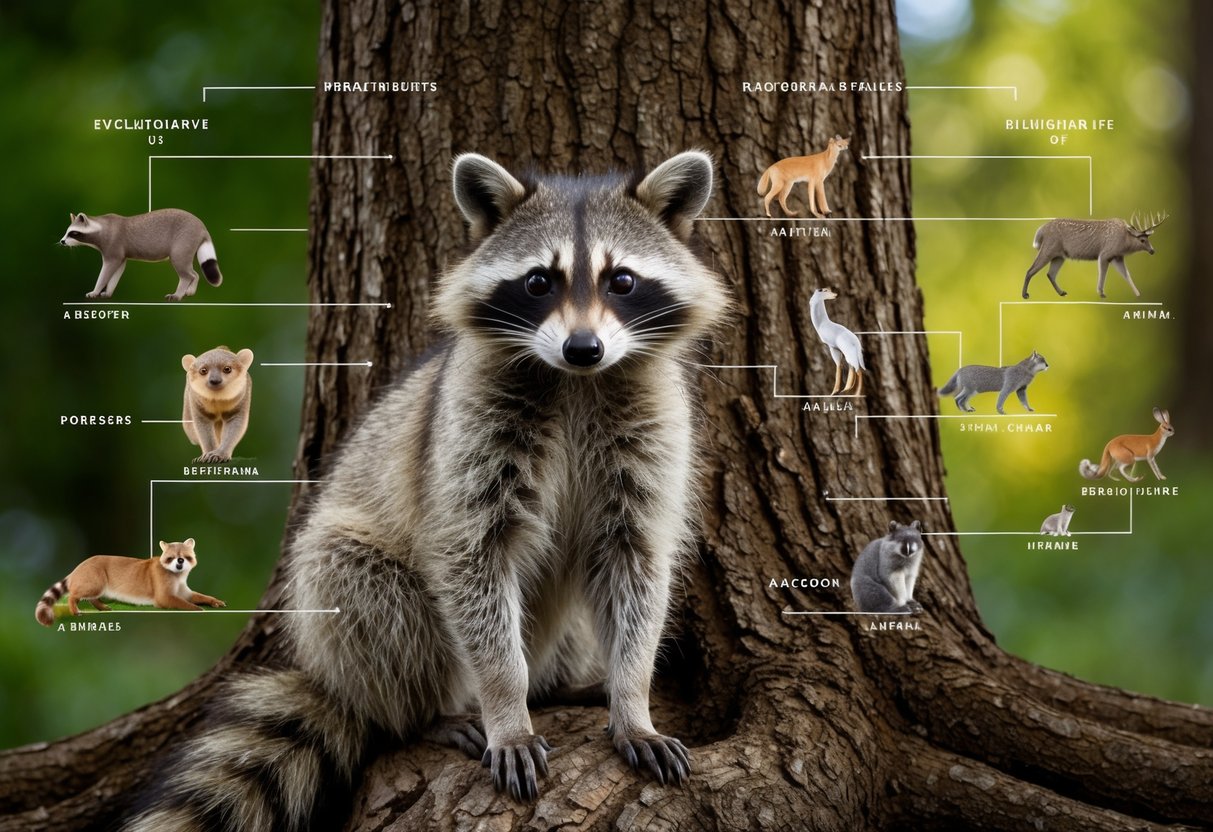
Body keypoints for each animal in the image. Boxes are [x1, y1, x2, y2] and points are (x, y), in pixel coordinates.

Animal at [122, 151, 730, 830]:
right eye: (538, 282)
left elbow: (638, 567)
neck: (576, 382)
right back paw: (429, 710)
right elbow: (471, 564)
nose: (583, 348)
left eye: (621, 280)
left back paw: (564, 683)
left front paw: (632, 700)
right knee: (363, 588)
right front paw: (507, 708)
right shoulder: (467, 430)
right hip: (348, 595)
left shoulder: (651, 434)